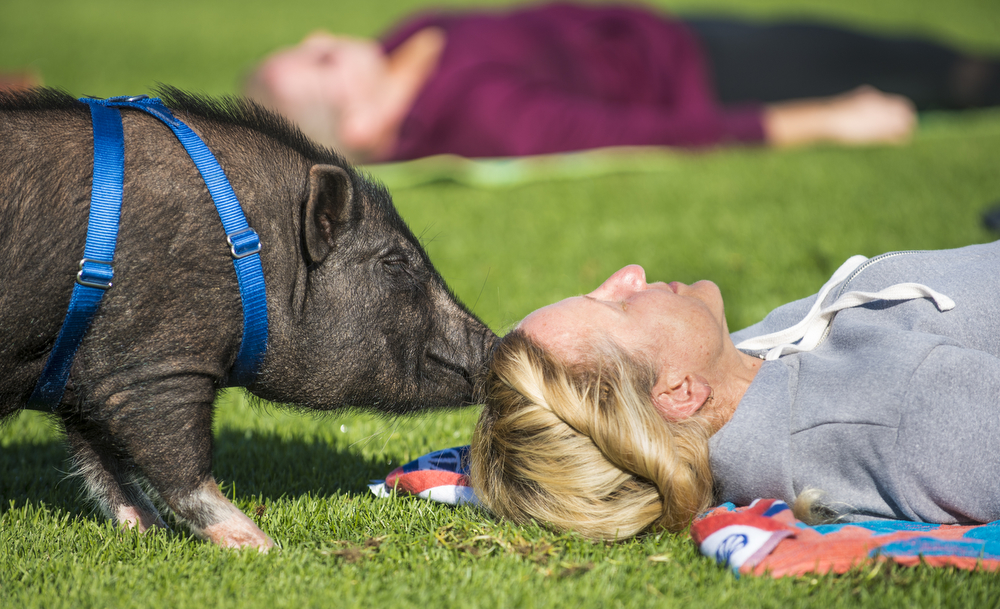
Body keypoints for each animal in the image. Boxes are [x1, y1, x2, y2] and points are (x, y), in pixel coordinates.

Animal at [0, 87, 496, 550]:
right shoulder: (155, 364)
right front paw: (267, 547)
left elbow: (102, 463)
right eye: (395, 262)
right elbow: (176, 465)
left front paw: (151, 533)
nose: (497, 344)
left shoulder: (85, 377)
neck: (252, 249)